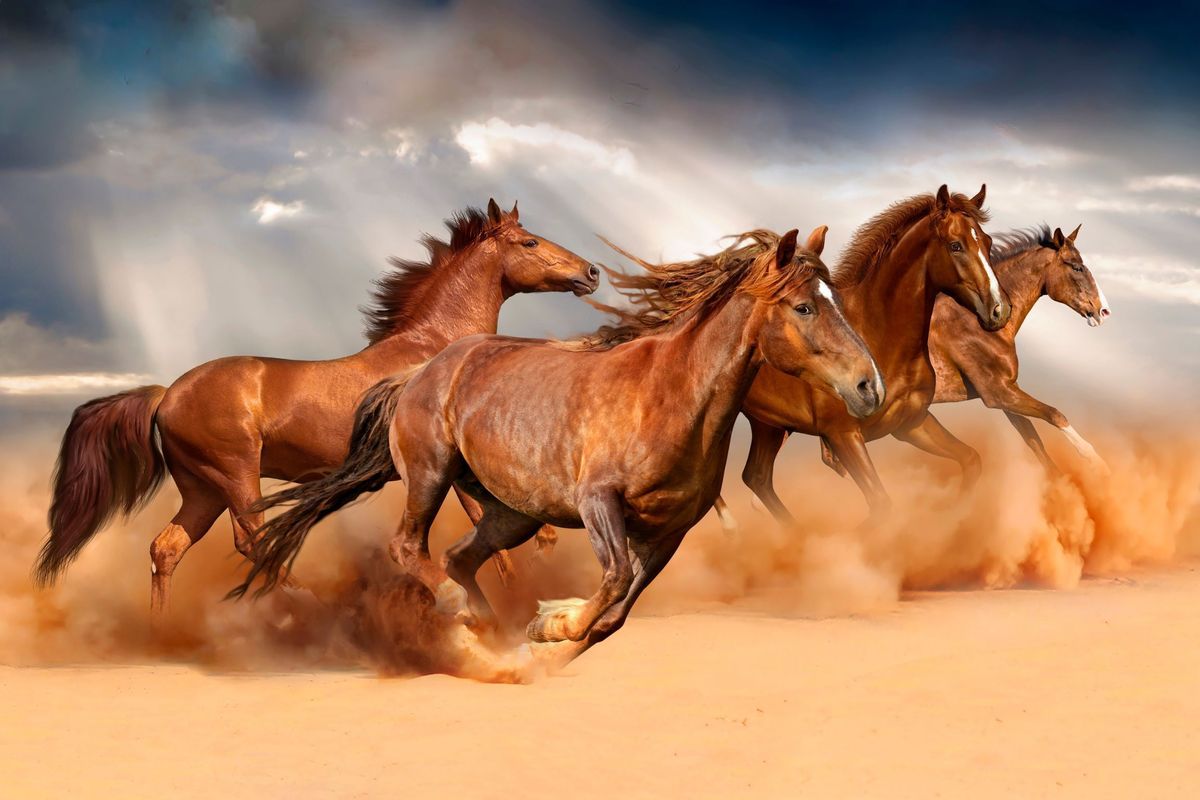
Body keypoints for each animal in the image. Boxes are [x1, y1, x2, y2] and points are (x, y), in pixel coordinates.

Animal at [34, 200, 599, 620]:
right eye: (530, 242)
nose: (591, 271)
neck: (435, 350)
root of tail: (167, 393)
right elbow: (496, 531)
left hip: (202, 488)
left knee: (166, 547)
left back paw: (164, 634)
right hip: (236, 475)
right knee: (255, 542)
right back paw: (315, 610)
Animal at [236, 226, 882, 665]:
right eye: (804, 306)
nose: (868, 387)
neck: (670, 395)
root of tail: (420, 372)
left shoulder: (671, 531)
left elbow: (617, 613)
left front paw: (545, 636)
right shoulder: (599, 503)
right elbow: (614, 583)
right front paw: (553, 624)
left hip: (511, 512)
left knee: (460, 557)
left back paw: (488, 631)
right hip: (430, 475)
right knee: (411, 548)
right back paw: (458, 612)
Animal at [728, 185, 1009, 526]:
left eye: (988, 241)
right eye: (955, 245)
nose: (998, 310)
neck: (878, 333)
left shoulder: (911, 423)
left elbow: (971, 460)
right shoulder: (843, 435)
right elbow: (880, 503)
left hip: (769, 425)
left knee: (756, 477)